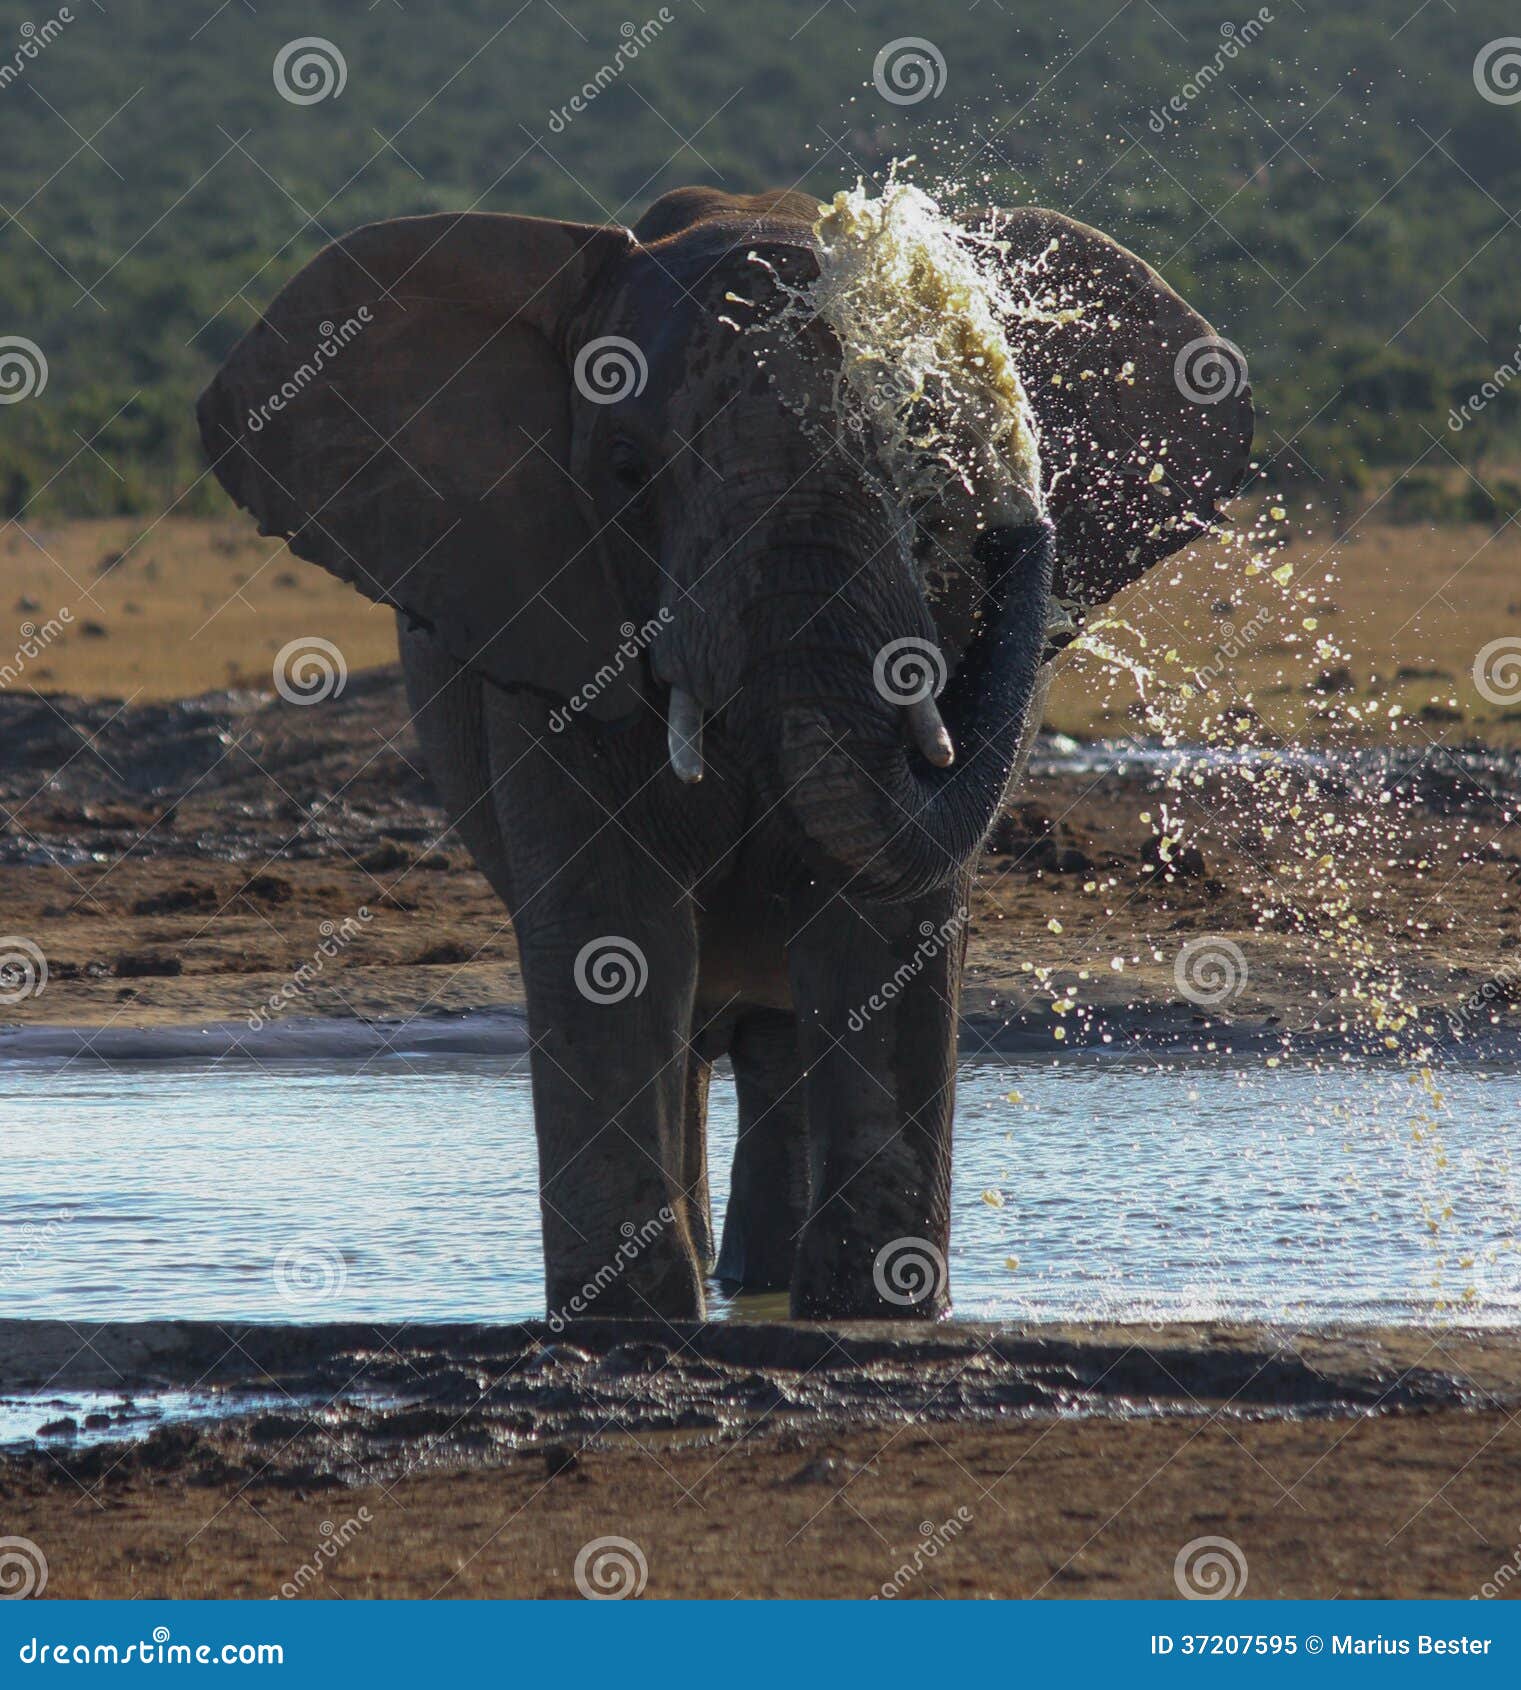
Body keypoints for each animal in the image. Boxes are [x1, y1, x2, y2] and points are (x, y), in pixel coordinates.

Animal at [198, 185, 1251, 1321]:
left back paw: (767, 1285)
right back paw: (720, 1284)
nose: (1012, 488)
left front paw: (878, 1310)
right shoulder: (548, 618)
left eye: (926, 462)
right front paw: (628, 1321)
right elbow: (610, 930)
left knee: (779, 1033)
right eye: (624, 471)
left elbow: (881, 931)